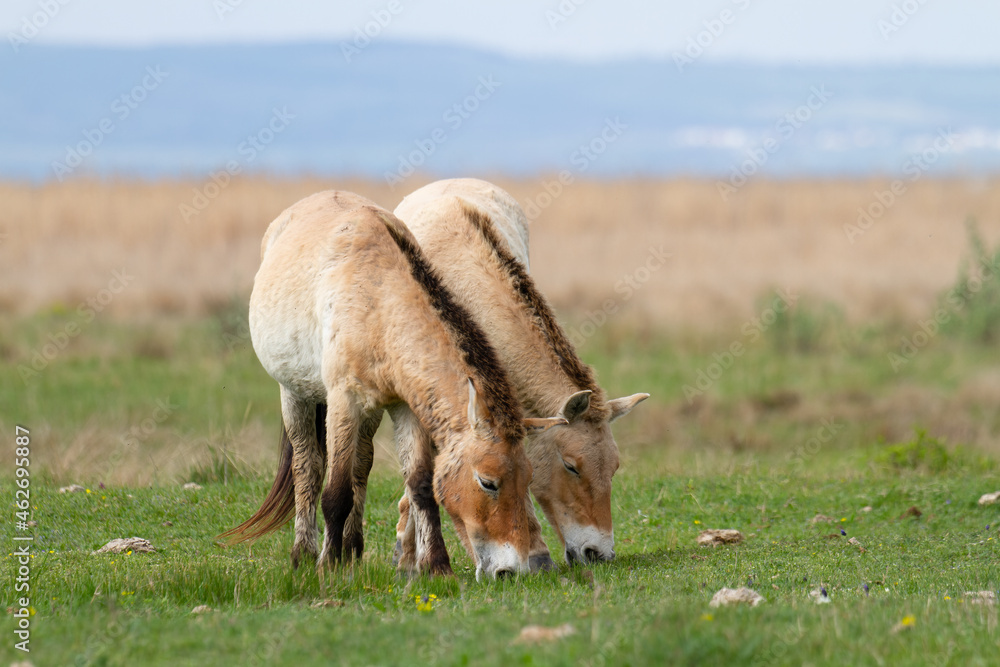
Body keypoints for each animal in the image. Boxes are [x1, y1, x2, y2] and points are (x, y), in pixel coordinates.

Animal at [221, 191, 565, 579]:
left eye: (529, 477)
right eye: (487, 482)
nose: (517, 570)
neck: (378, 300)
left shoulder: (405, 407)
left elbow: (420, 485)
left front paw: (436, 566)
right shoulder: (343, 402)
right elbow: (336, 492)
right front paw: (328, 566)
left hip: (368, 413)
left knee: (361, 464)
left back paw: (352, 549)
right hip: (295, 394)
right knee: (308, 466)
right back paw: (305, 554)